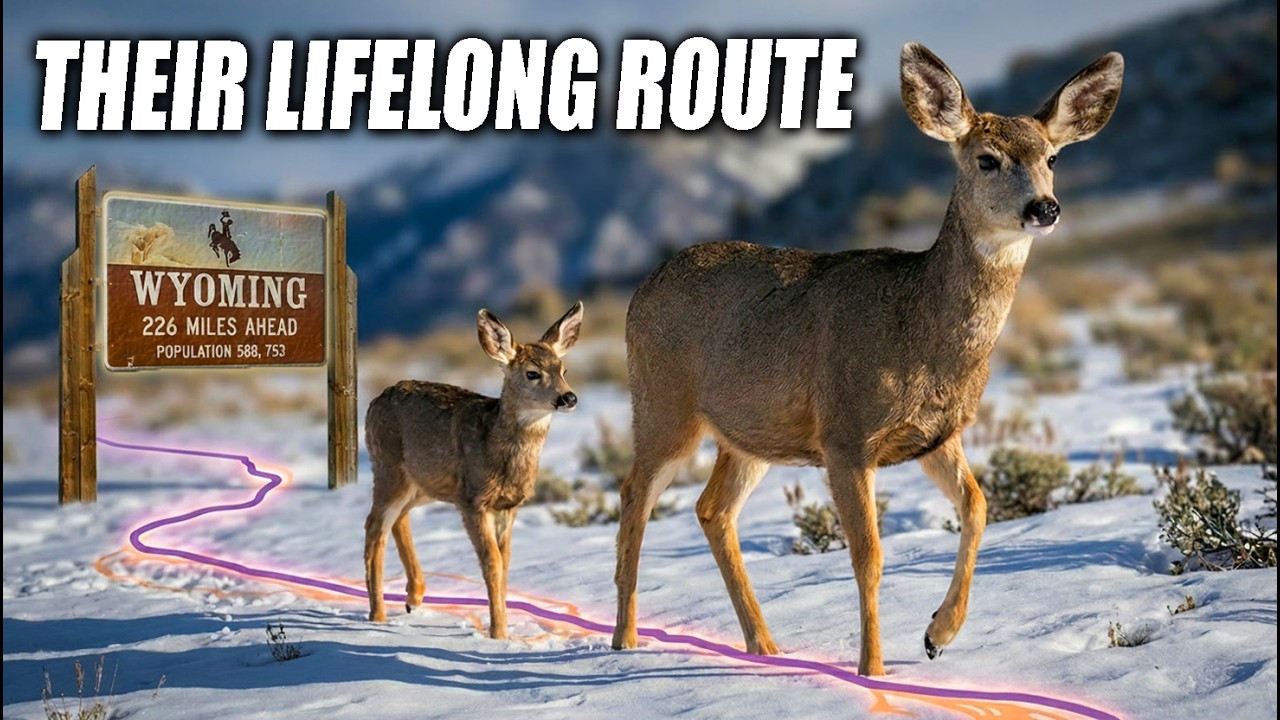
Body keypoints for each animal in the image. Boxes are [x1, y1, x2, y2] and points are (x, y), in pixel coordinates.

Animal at [363, 301, 584, 638]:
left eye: (563, 369)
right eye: (532, 373)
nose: (568, 397)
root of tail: (373, 403)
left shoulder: (507, 506)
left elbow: (505, 563)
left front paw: (503, 629)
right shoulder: (473, 500)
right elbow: (491, 564)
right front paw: (498, 634)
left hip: (425, 483)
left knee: (399, 519)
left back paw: (413, 598)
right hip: (389, 468)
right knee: (375, 527)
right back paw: (377, 615)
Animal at [610, 43, 1123, 676]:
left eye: (1052, 156)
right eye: (986, 160)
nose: (1044, 208)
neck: (919, 330)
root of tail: (642, 288)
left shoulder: (937, 435)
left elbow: (978, 506)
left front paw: (938, 633)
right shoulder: (847, 434)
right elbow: (869, 555)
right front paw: (873, 670)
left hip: (752, 433)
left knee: (712, 509)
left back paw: (765, 646)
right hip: (664, 406)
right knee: (635, 495)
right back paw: (626, 639)